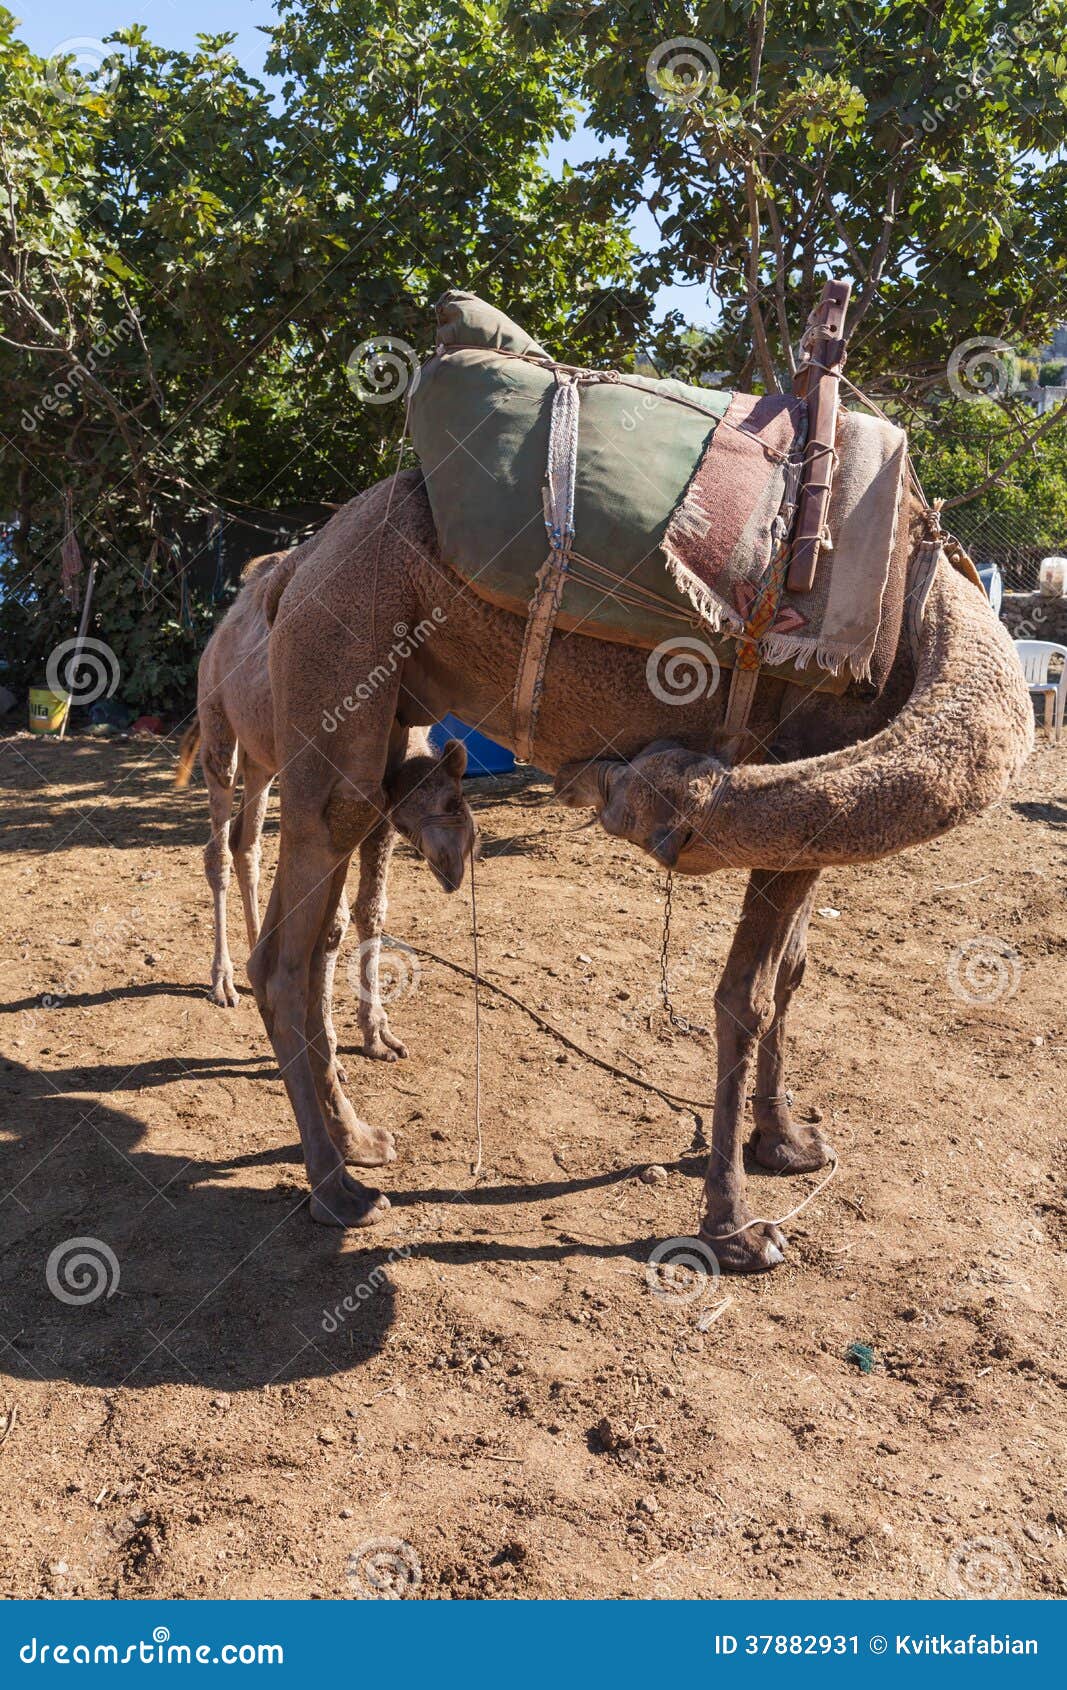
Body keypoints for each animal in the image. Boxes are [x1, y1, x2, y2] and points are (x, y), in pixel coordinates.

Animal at [174, 550, 477, 1076]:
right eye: (448, 805)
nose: (454, 866)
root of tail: (218, 635)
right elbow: (331, 924)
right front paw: (330, 1054)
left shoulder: (380, 814)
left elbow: (370, 910)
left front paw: (379, 1035)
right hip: (217, 725)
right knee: (218, 847)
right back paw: (224, 982)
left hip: (264, 761)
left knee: (246, 844)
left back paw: (256, 960)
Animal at [244, 469, 1032, 1262]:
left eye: (640, 797)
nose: (584, 778)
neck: (925, 609)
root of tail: (293, 567)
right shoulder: (805, 750)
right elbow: (744, 997)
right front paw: (737, 1228)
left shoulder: (806, 809)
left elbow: (790, 975)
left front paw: (789, 1143)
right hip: (340, 662)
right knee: (289, 939)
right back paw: (338, 1191)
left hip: (379, 701)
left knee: (318, 927)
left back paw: (359, 1140)